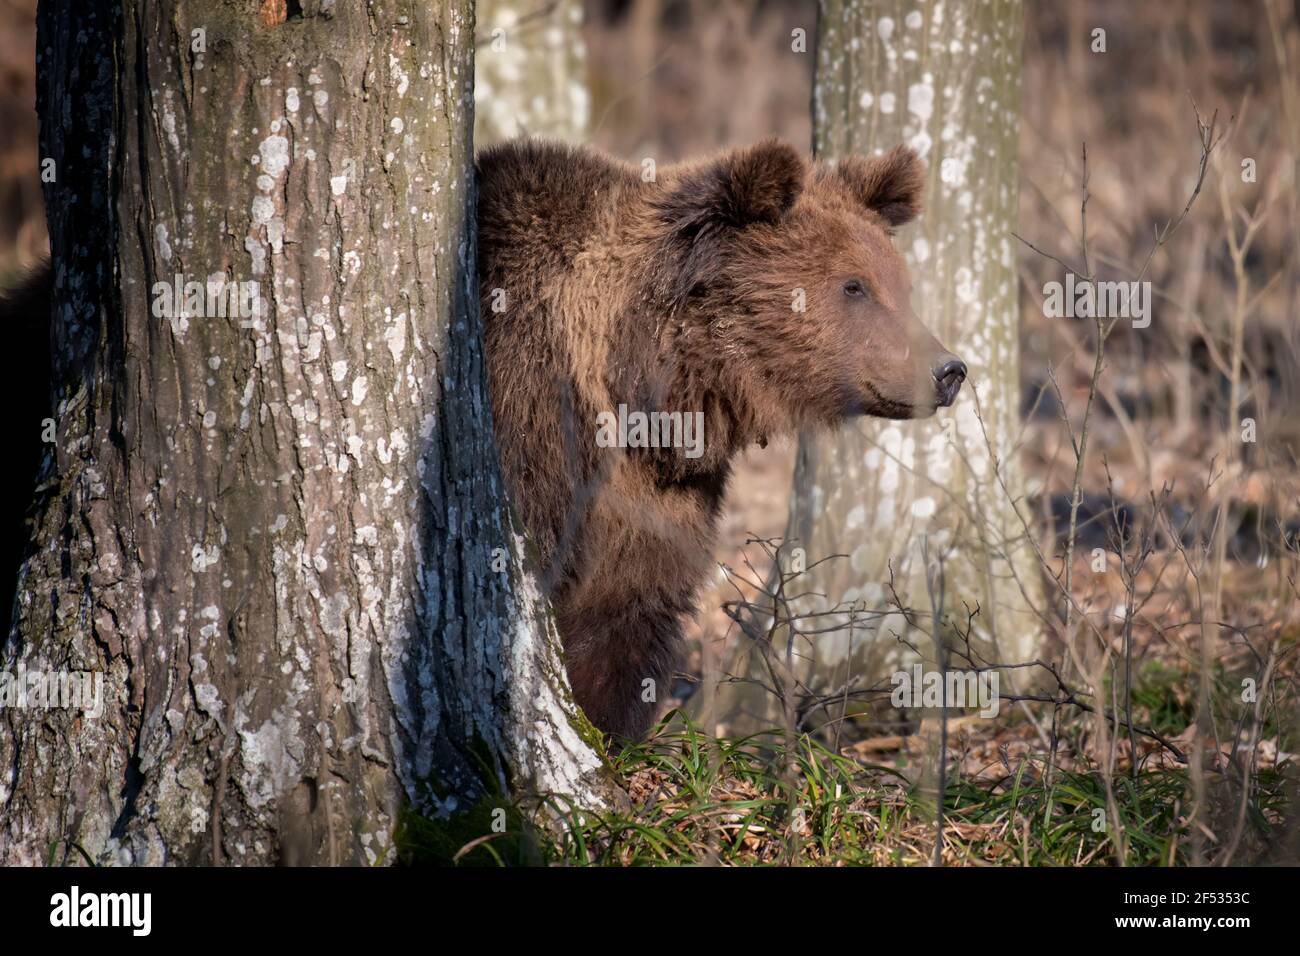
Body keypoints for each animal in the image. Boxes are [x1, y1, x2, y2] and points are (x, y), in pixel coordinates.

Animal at [476, 137, 965, 740]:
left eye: (903, 285)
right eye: (854, 285)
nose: (949, 369)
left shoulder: (653, 497)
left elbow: (625, 608)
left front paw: (607, 729)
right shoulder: (533, 433)